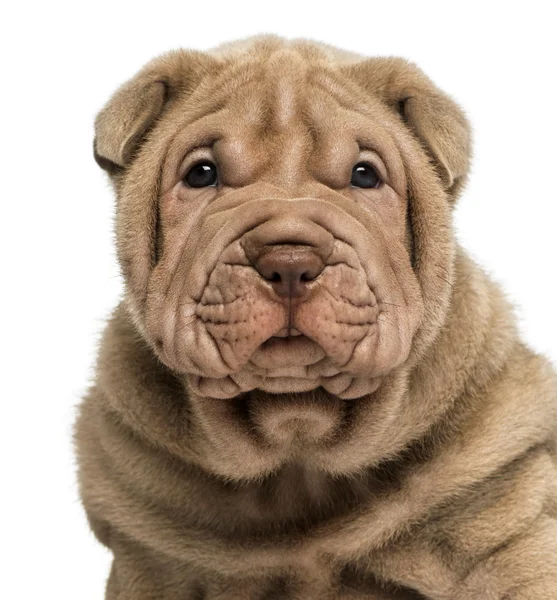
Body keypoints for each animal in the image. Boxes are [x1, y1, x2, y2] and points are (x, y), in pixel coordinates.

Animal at [75, 35, 556, 596]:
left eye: (364, 175)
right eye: (201, 173)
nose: (289, 262)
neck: (297, 435)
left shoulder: (503, 523)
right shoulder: (151, 560)